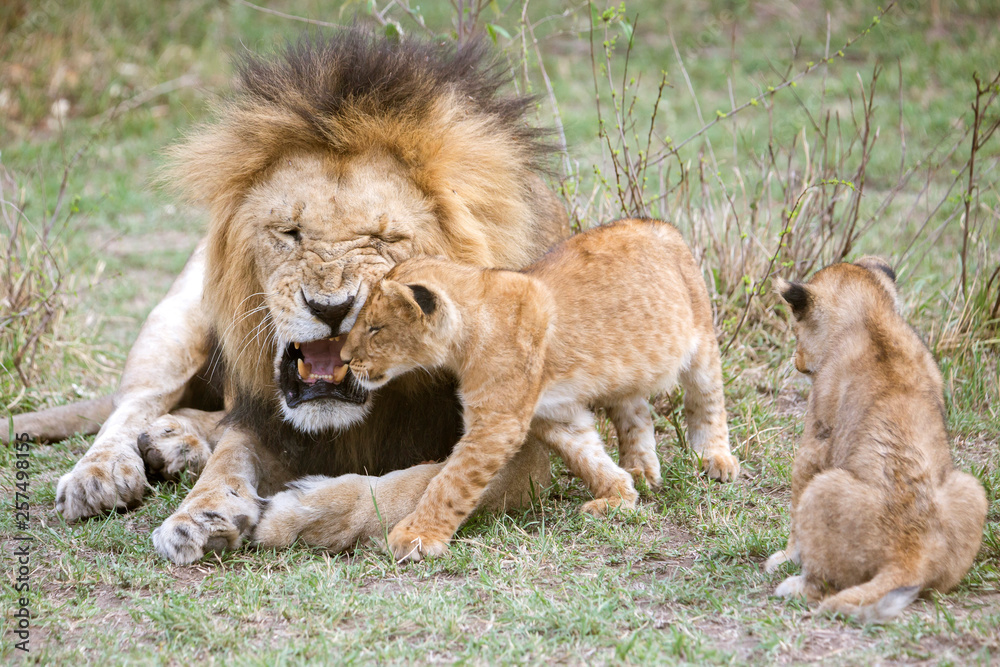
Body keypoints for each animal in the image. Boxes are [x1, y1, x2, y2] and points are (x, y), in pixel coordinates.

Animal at [19, 32, 573, 564]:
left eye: (386, 239)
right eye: (289, 232)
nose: (332, 308)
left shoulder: (520, 449)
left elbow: (416, 487)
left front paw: (294, 513)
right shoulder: (261, 419)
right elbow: (228, 460)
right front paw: (199, 515)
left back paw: (175, 440)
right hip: (179, 316)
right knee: (135, 401)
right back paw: (104, 472)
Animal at [319, 218, 740, 561]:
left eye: (375, 329)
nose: (344, 358)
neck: (470, 327)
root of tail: (660, 224)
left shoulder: (497, 424)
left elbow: (449, 483)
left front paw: (417, 536)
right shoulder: (555, 414)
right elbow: (586, 456)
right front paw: (618, 495)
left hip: (701, 340)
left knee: (707, 401)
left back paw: (716, 460)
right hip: (626, 368)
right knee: (635, 412)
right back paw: (640, 469)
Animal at [766, 257, 987, 621]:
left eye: (796, 329)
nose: (796, 362)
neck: (872, 314)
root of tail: (910, 556)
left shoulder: (816, 437)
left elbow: (796, 505)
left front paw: (785, 557)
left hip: (824, 488)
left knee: (823, 589)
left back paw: (792, 587)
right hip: (971, 487)